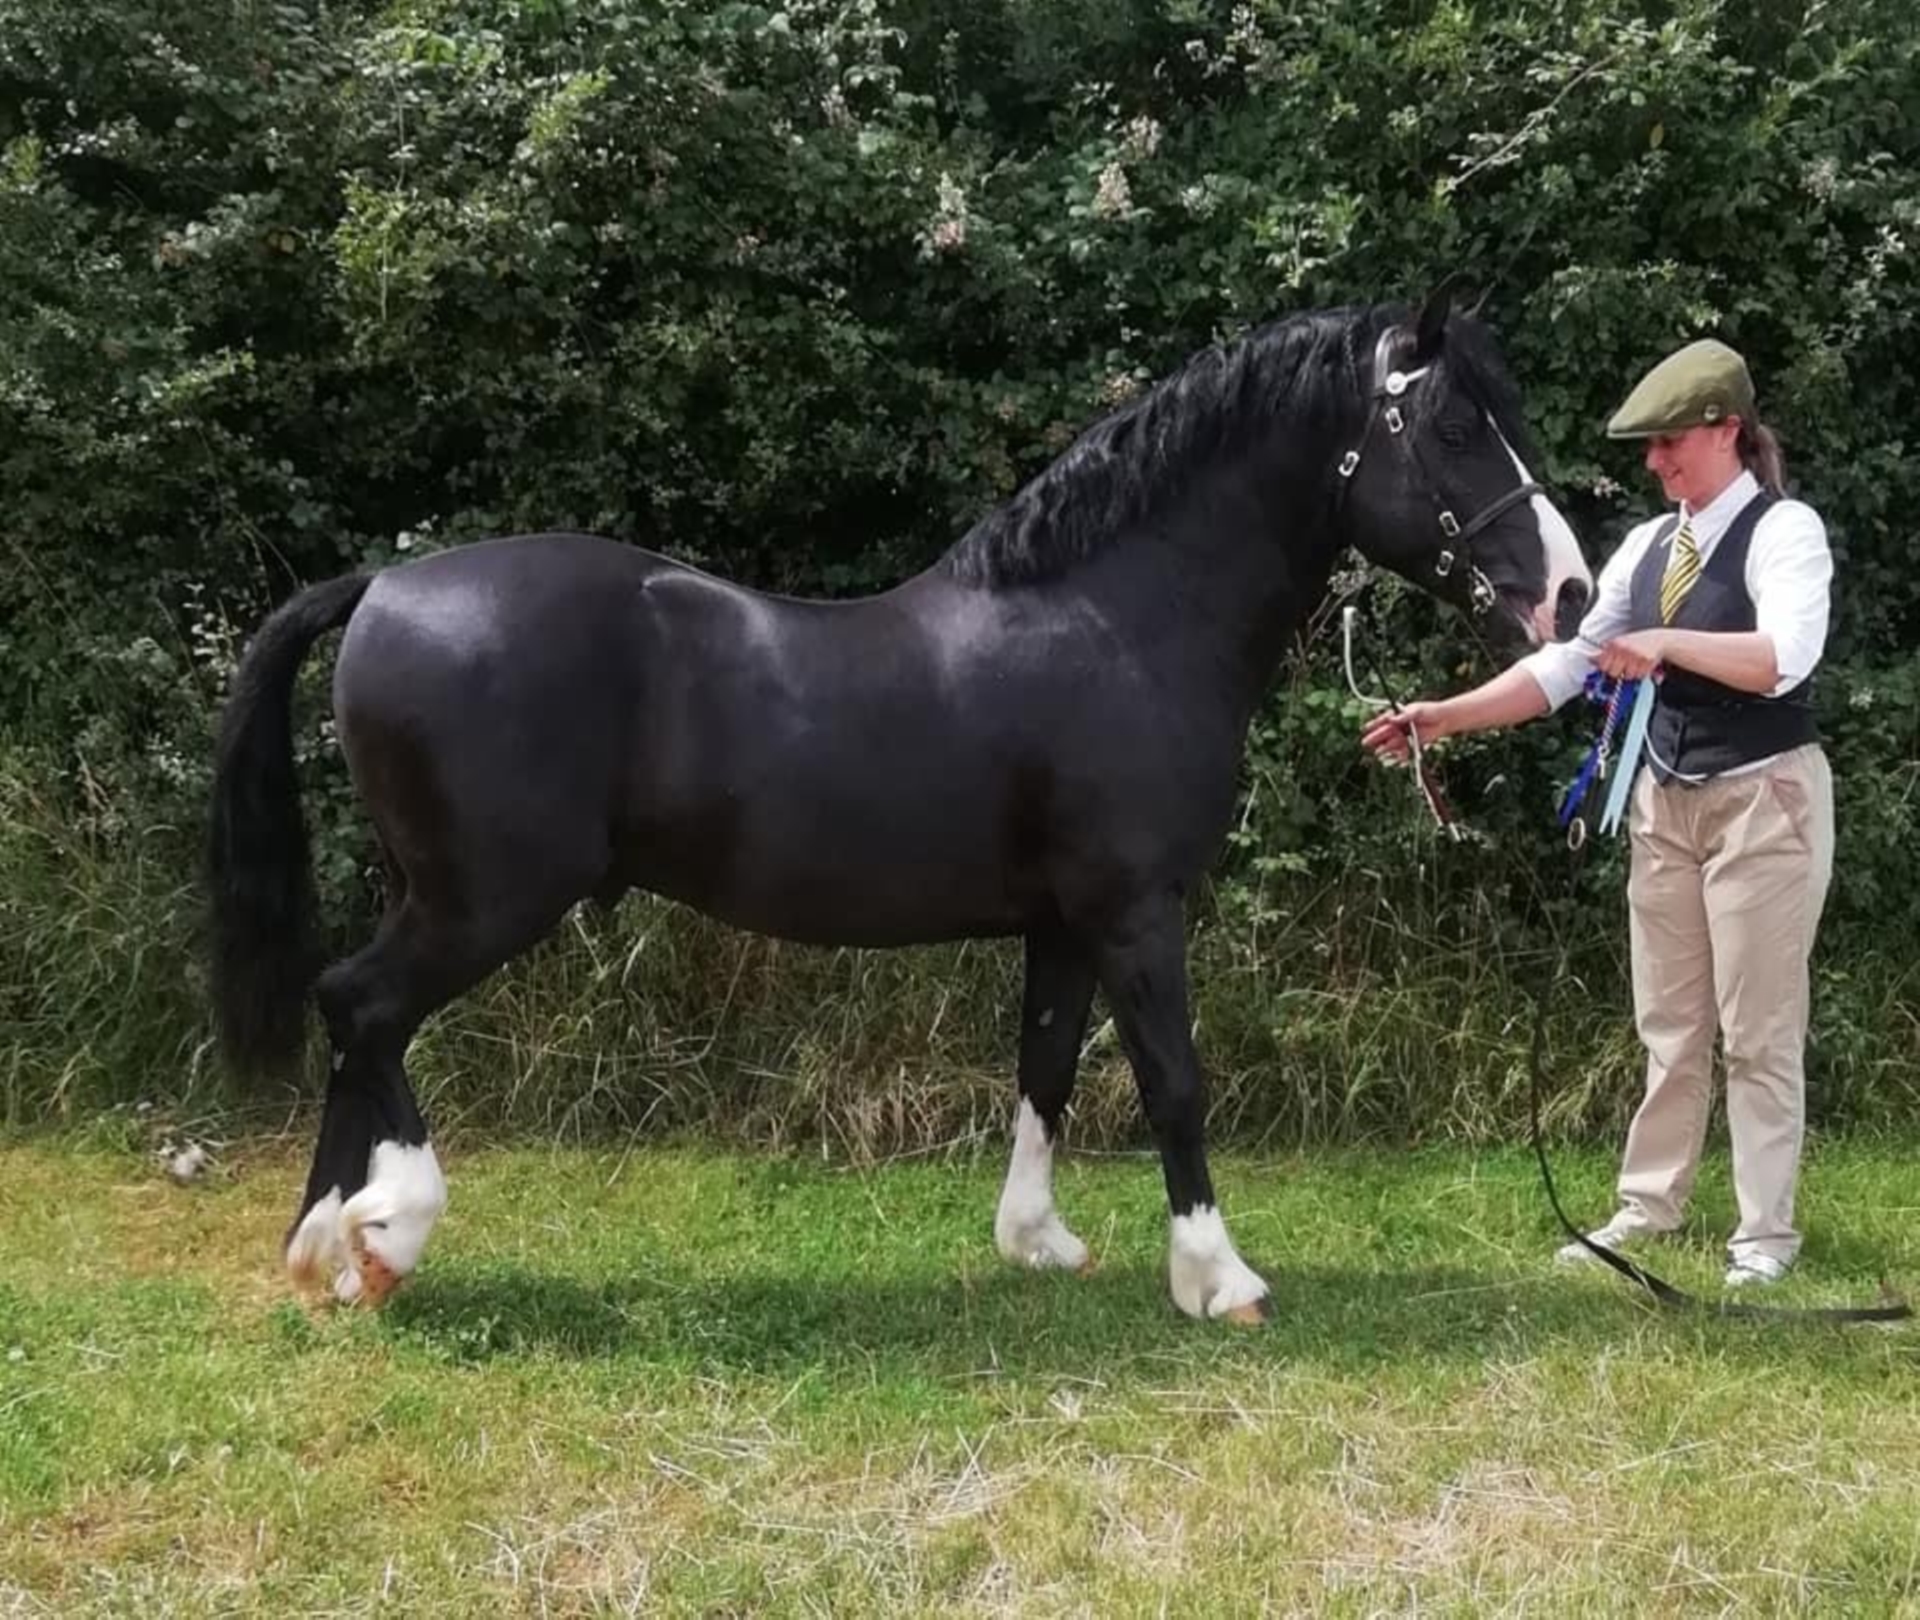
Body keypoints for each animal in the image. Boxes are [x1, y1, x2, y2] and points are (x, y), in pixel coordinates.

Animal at [207, 291, 1591, 1322]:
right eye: (1454, 426)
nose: (1571, 593)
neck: (1116, 620)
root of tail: (381, 586)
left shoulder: (1065, 922)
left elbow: (1046, 1070)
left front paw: (1038, 1242)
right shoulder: (1138, 911)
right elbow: (1172, 1081)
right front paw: (1218, 1277)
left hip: (440, 893)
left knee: (356, 1028)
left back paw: (327, 1249)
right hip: (486, 899)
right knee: (361, 1007)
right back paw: (391, 1228)